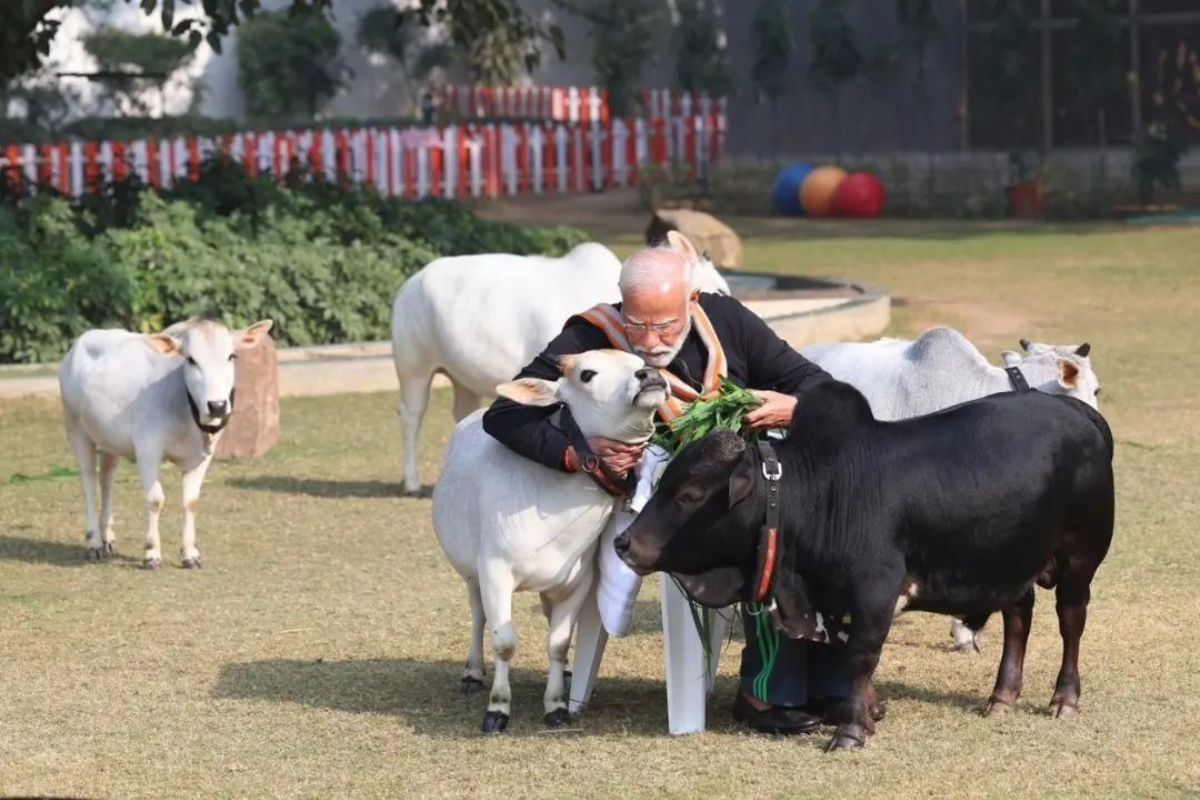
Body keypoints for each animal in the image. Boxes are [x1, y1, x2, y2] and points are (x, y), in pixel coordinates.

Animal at [58, 315, 274, 569]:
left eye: (231, 356)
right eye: (191, 359)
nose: (217, 405)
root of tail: (83, 340)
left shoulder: (203, 456)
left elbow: (191, 501)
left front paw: (190, 553)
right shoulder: (147, 448)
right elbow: (155, 499)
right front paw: (151, 553)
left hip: (109, 439)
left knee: (106, 481)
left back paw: (107, 538)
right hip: (75, 427)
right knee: (89, 484)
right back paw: (93, 543)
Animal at [390, 233, 729, 495]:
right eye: (721, 287)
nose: (723, 301)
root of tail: (409, 285)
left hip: (461, 380)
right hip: (413, 368)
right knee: (410, 416)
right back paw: (412, 482)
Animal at [432, 349, 667, 733]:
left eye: (638, 361)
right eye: (587, 374)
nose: (649, 375)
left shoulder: (577, 581)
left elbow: (558, 643)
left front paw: (556, 706)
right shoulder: (495, 572)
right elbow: (504, 642)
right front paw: (497, 710)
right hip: (470, 572)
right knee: (479, 615)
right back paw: (472, 673)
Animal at [615, 381, 1114, 752]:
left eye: (690, 494)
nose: (624, 543)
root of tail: (1079, 411)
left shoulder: (875, 593)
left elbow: (860, 657)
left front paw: (851, 730)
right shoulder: (835, 601)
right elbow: (849, 657)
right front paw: (869, 713)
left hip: (1079, 560)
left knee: (1071, 622)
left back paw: (1064, 699)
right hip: (1014, 562)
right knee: (1018, 618)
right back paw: (1002, 697)